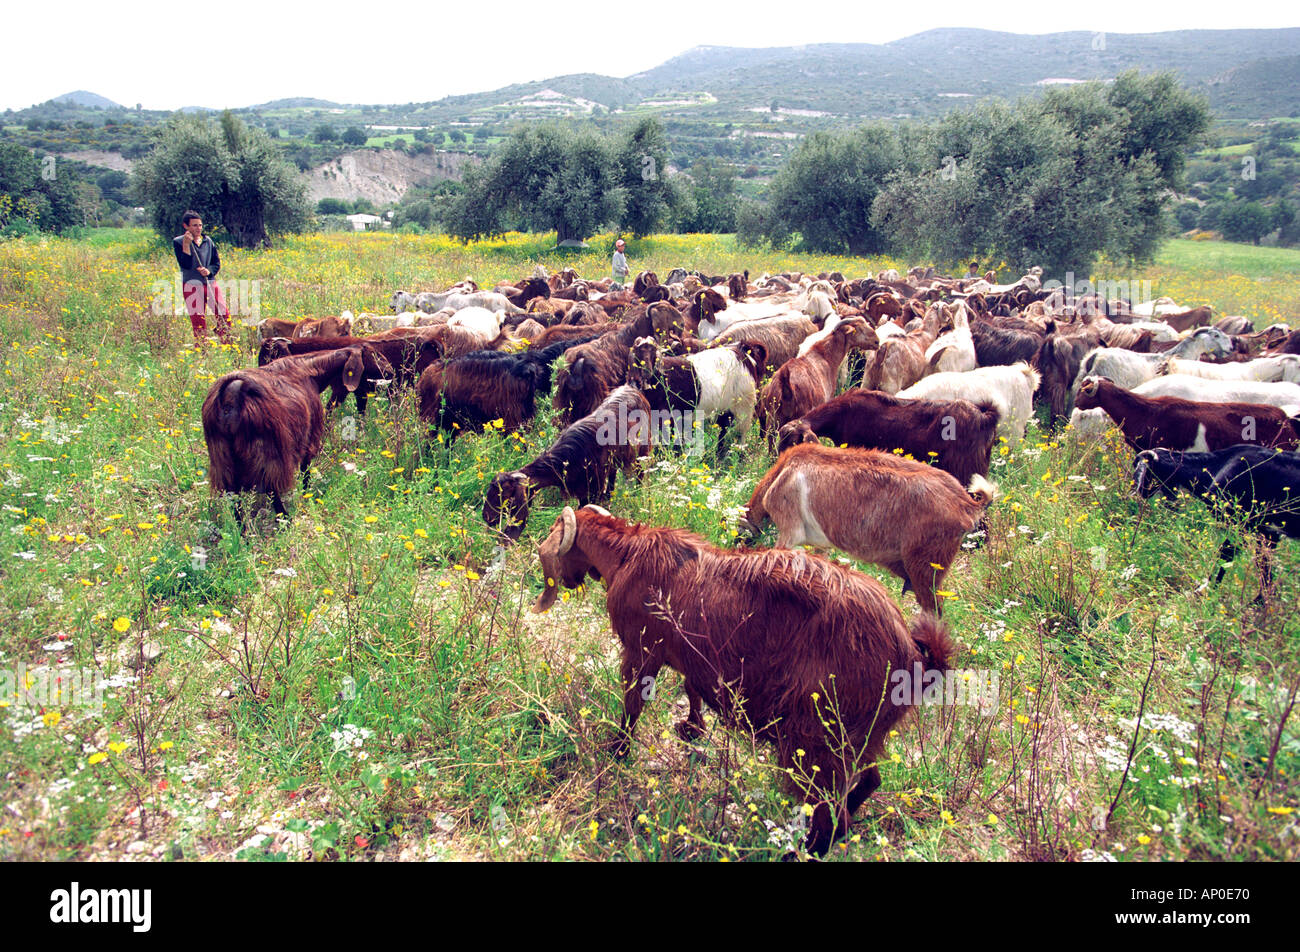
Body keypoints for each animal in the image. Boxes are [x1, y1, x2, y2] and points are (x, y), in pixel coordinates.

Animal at [531, 504, 955, 855]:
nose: (568, 582)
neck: (628, 554)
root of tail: (913, 655)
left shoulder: (642, 650)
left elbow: (633, 703)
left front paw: (617, 750)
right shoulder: (691, 655)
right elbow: (690, 688)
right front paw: (692, 728)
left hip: (816, 737)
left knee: (828, 810)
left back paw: (801, 850)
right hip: (861, 736)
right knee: (868, 782)